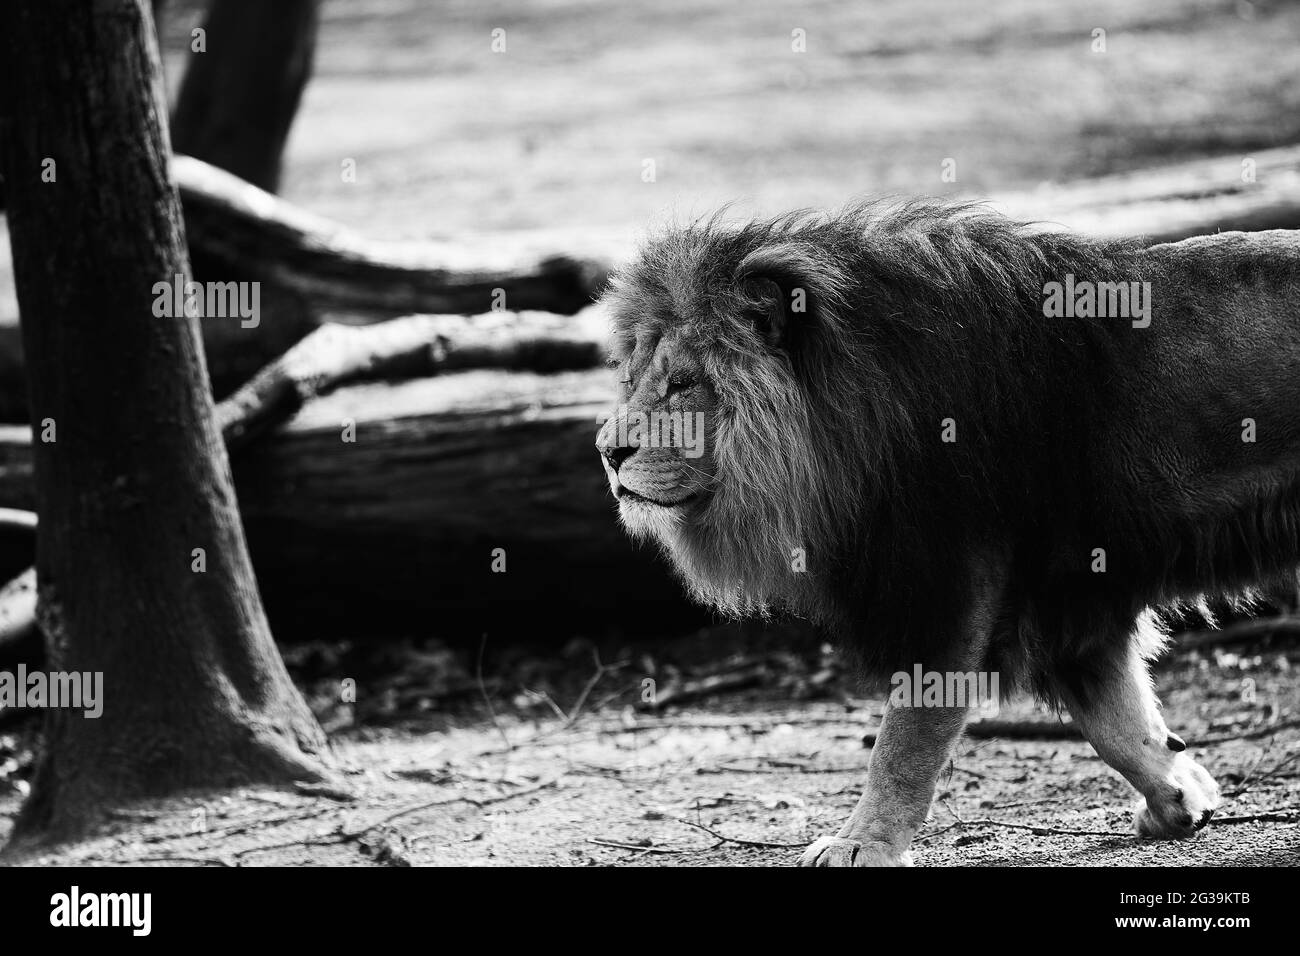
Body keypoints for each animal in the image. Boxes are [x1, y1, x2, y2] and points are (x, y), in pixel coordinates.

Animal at [595, 199, 1300, 866]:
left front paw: (861, 844)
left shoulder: (952, 583)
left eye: (685, 384)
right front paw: (1178, 796)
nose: (607, 451)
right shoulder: (1075, 596)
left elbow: (903, 743)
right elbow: (1118, 720)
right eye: (632, 380)